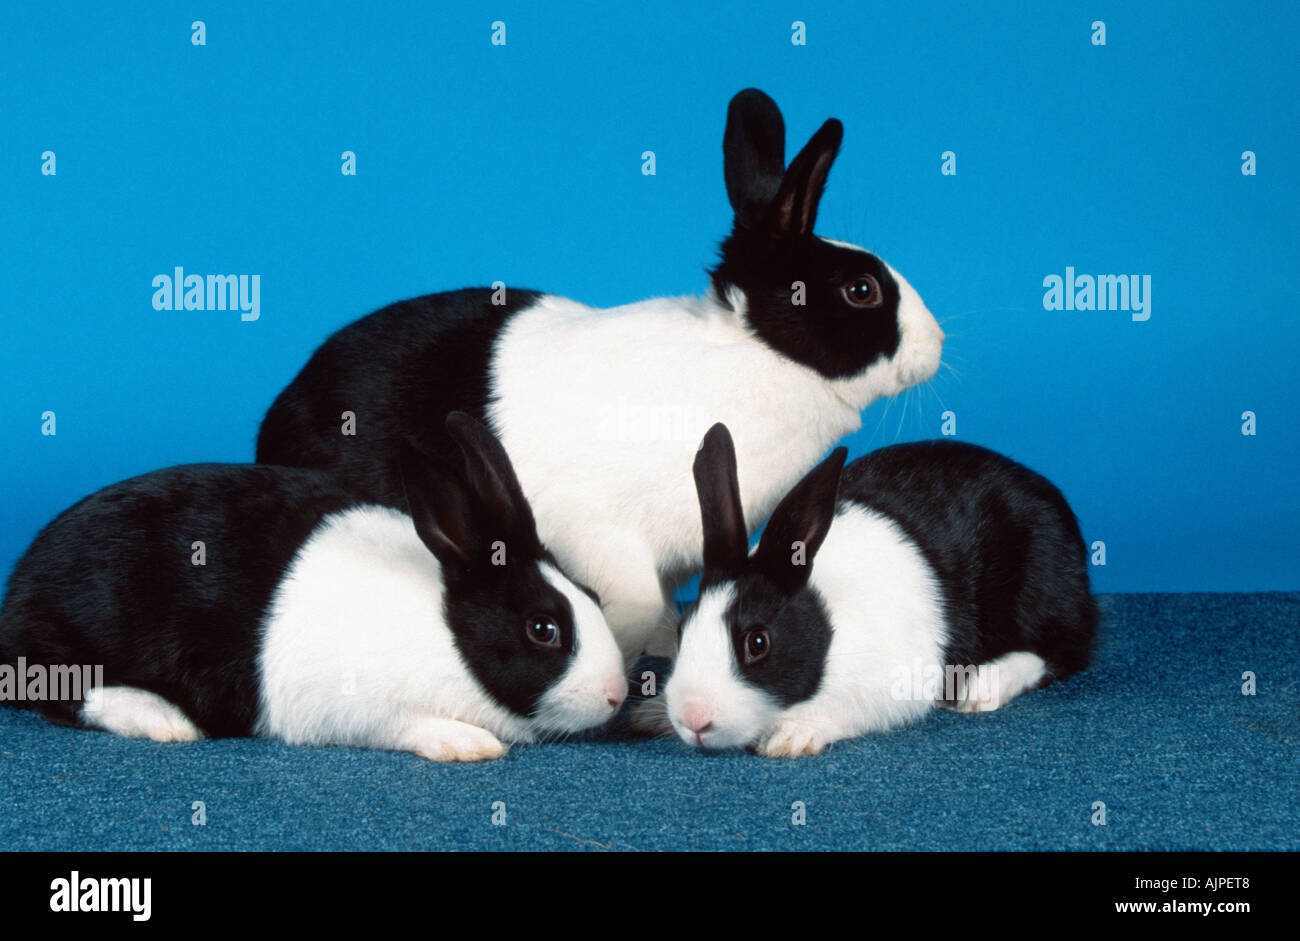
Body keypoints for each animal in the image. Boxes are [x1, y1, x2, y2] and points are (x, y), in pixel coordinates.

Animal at [0, 413, 626, 762]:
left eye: (593, 597)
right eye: (543, 629)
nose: (616, 695)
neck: (446, 630)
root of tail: (19, 592)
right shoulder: (356, 709)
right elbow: (406, 725)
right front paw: (465, 744)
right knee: (62, 688)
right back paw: (164, 721)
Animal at [254, 88, 946, 667]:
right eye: (861, 290)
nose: (936, 347)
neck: (753, 354)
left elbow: (662, 611)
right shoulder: (605, 537)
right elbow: (634, 606)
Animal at [657, 423, 1097, 757]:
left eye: (758, 642)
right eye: (681, 632)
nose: (692, 718)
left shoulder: (893, 682)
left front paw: (791, 737)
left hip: (1042, 588)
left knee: (1064, 650)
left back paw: (980, 687)